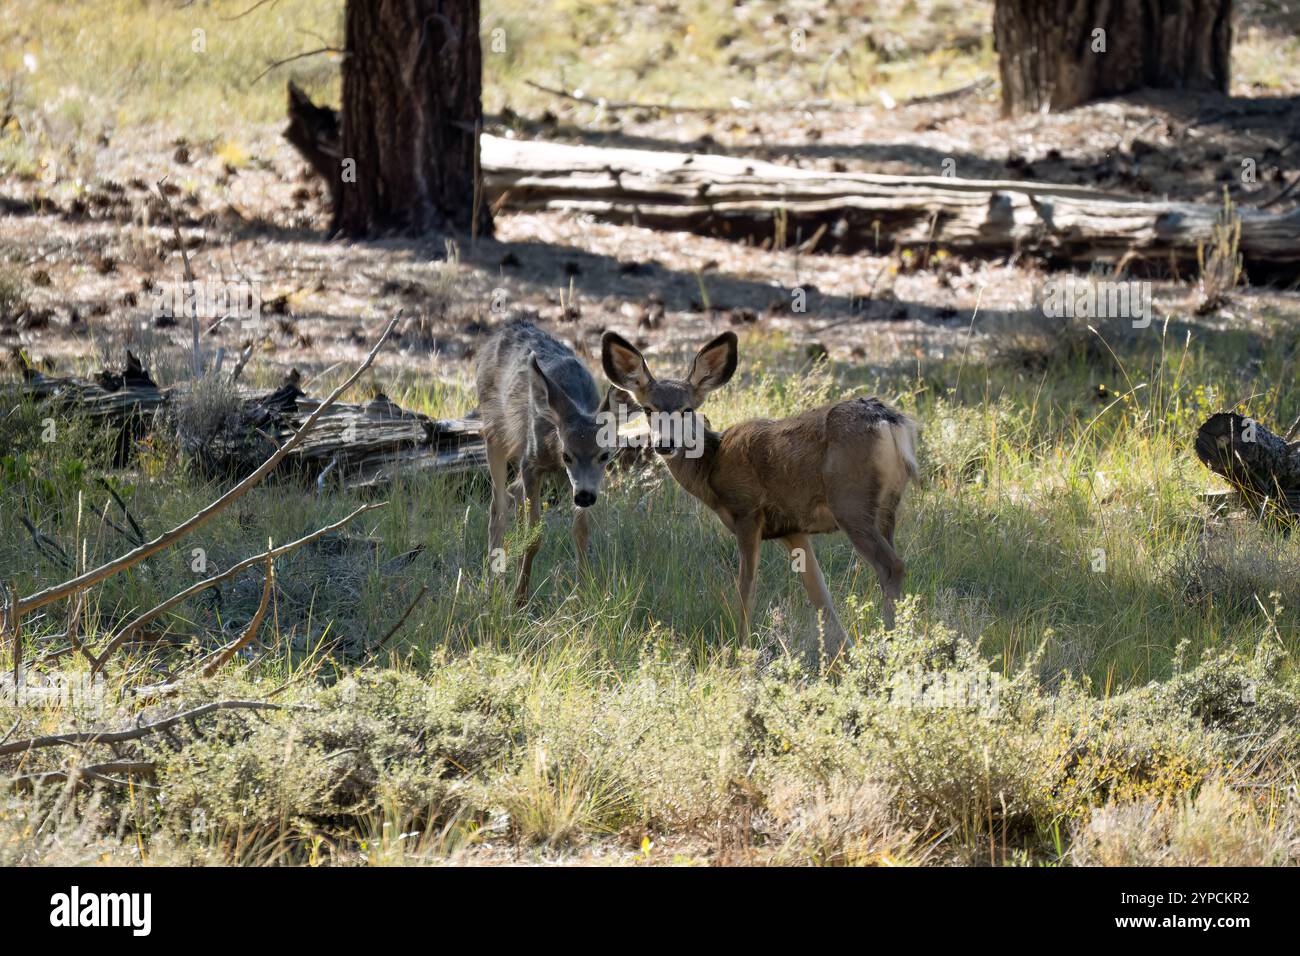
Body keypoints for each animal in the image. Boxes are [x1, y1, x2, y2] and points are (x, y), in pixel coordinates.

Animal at [477, 319, 619, 603]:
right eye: (567, 454)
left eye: (605, 455)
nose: (585, 496)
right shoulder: (531, 463)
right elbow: (534, 538)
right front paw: (519, 598)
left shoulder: (573, 481)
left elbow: (581, 532)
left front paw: (583, 593)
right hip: (494, 431)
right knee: (498, 505)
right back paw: (493, 586)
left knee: (513, 491)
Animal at [601, 330, 918, 656]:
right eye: (648, 410)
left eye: (687, 410)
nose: (665, 443)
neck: (712, 467)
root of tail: (891, 423)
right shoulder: (791, 528)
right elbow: (820, 594)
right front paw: (844, 653)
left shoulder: (747, 511)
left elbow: (746, 588)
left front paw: (740, 650)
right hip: (887, 507)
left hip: (850, 502)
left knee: (892, 565)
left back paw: (890, 643)